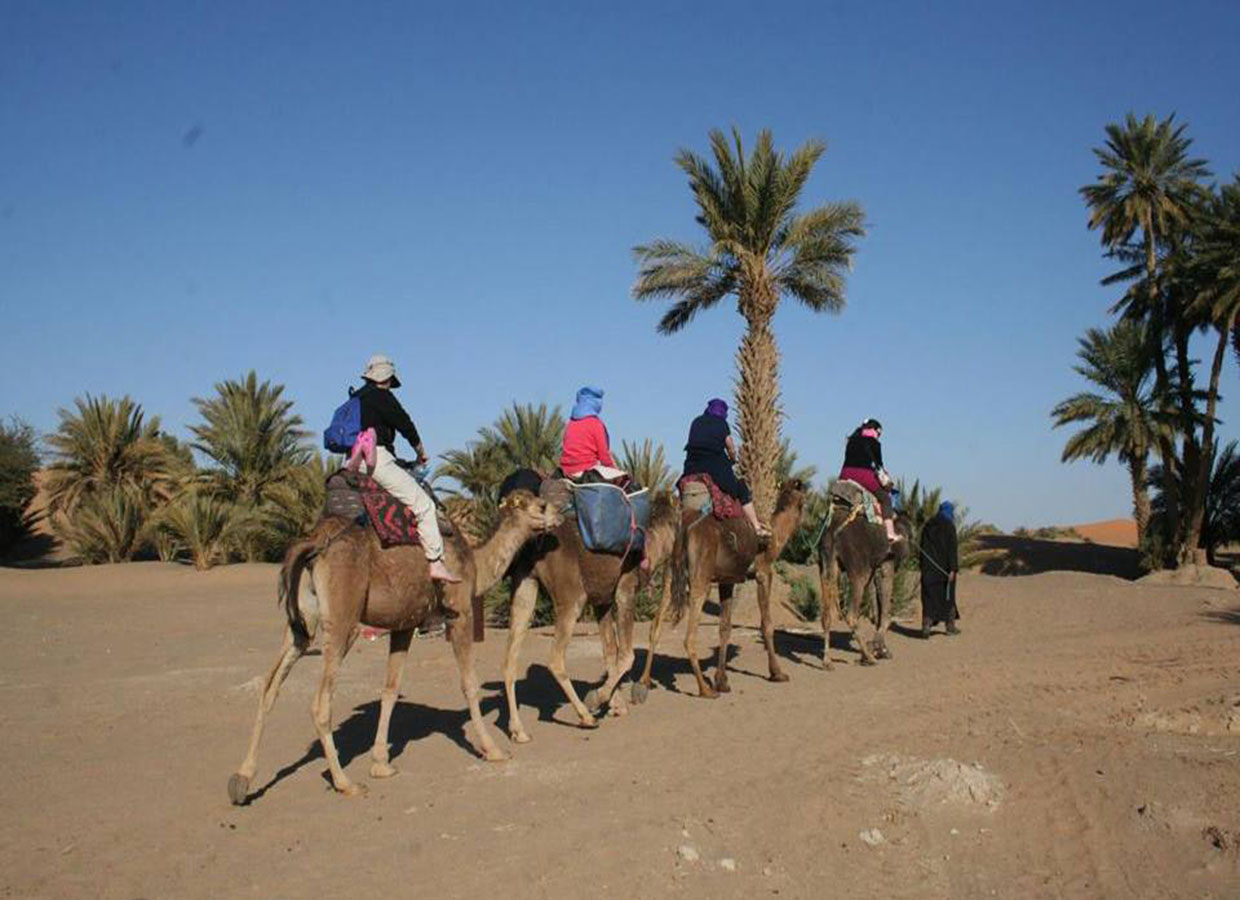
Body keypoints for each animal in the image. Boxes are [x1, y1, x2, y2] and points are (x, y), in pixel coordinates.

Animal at [227, 489, 561, 804]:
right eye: (541, 505)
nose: (559, 514)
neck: (476, 566)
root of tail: (314, 545)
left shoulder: (404, 625)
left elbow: (390, 689)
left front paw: (381, 763)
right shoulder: (460, 613)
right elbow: (469, 683)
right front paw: (494, 749)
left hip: (301, 625)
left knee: (270, 686)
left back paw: (242, 780)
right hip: (343, 620)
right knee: (320, 702)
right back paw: (345, 783)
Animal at [501, 479, 680, 742]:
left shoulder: (601, 601)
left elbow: (609, 652)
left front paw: (616, 705)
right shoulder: (625, 590)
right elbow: (626, 655)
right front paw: (598, 698)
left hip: (525, 584)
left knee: (510, 659)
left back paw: (518, 731)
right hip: (571, 594)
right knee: (555, 658)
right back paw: (586, 716)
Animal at [638, 479, 808, 698]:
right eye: (803, 497)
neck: (776, 538)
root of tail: (685, 525)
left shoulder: (727, 580)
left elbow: (725, 628)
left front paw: (722, 681)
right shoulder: (763, 573)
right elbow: (767, 625)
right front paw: (777, 673)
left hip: (670, 574)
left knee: (656, 625)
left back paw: (644, 680)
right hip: (700, 576)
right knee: (689, 636)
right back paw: (705, 690)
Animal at [816, 498, 912, 668]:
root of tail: (834, 530)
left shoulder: (874, 566)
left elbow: (877, 612)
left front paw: (880, 649)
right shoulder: (887, 564)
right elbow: (885, 613)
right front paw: (878, 649)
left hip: (826, 562)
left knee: (827, 613)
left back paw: (827, 661)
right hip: (857, 569)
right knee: (851, 615)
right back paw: (869, 657)